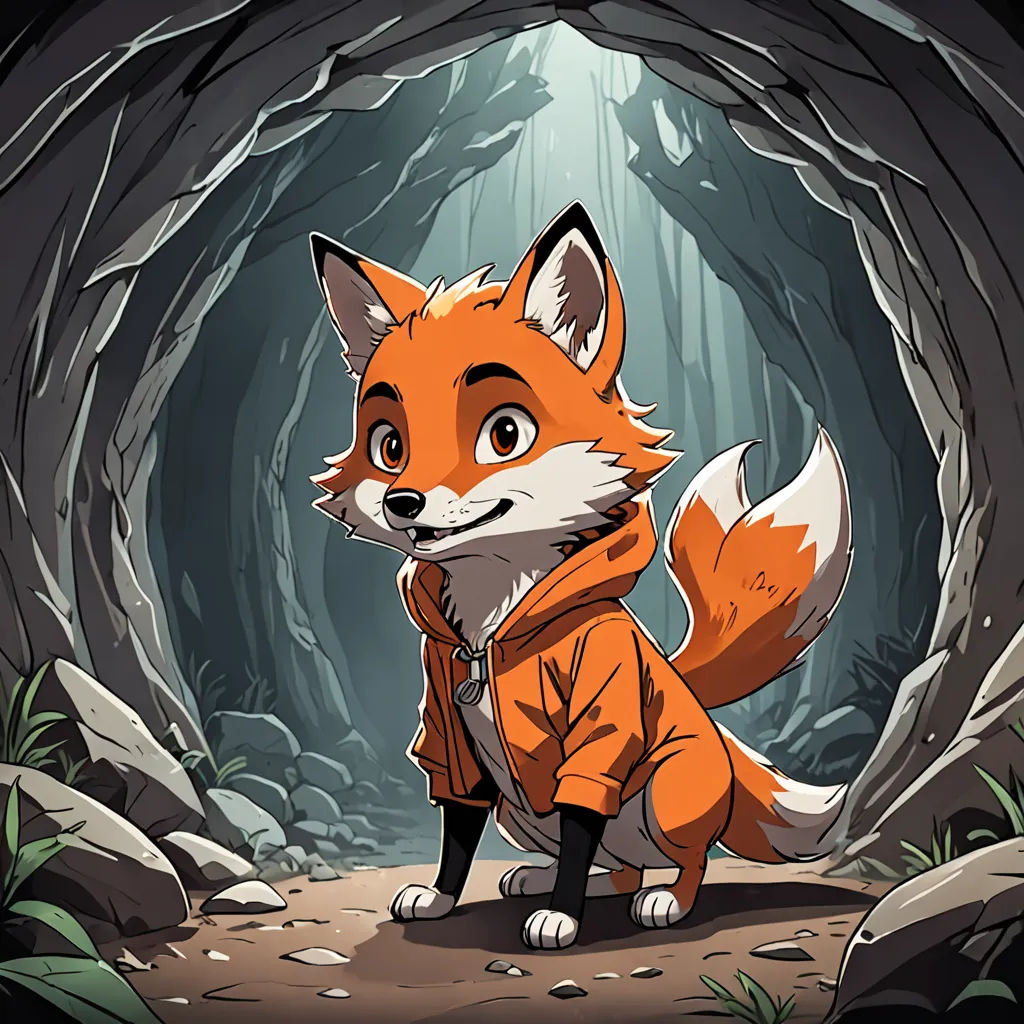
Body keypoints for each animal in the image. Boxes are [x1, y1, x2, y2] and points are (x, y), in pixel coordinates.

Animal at [307, 201, 852, 951]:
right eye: (390, 447)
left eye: (505, 435)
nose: (403, 502)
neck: (492, 622)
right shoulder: (451, 733)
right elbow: (459, 831)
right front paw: (445, 897)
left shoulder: (601, 721)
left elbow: (581, 817)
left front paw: (561, 918)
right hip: (520, 811)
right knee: (614, 866)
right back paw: (547, 879)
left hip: (668, 793)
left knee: (681, 859)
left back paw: (663, 900)